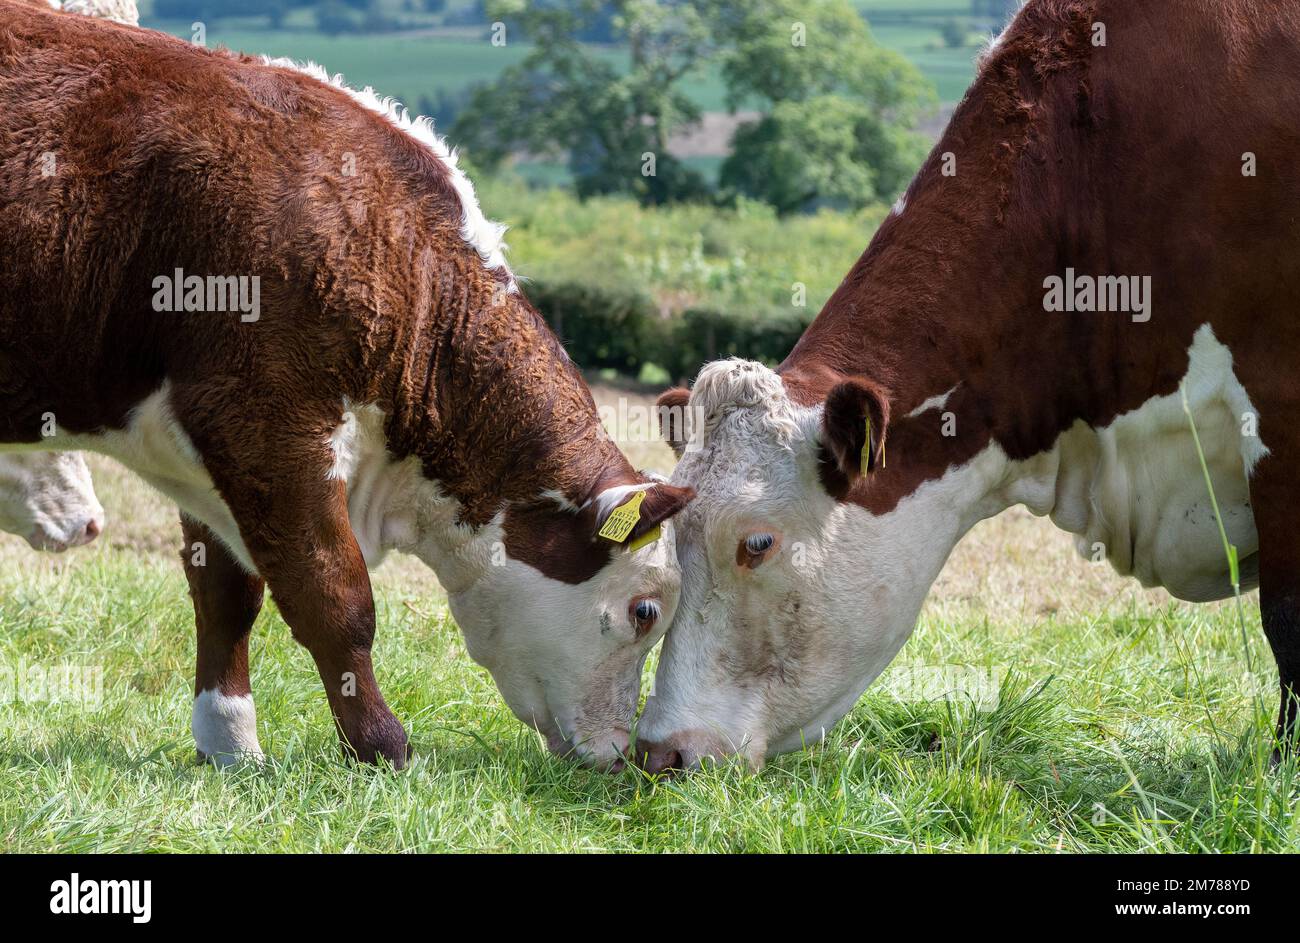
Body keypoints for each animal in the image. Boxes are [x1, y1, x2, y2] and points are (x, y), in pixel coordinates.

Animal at [0, 4, 693, 770]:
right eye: (644, 611)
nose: (622, 754)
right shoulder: (265, 425)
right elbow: (336, 599)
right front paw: (382, 747)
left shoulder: (209, 453)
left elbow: (226, 593)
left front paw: (230, 741)